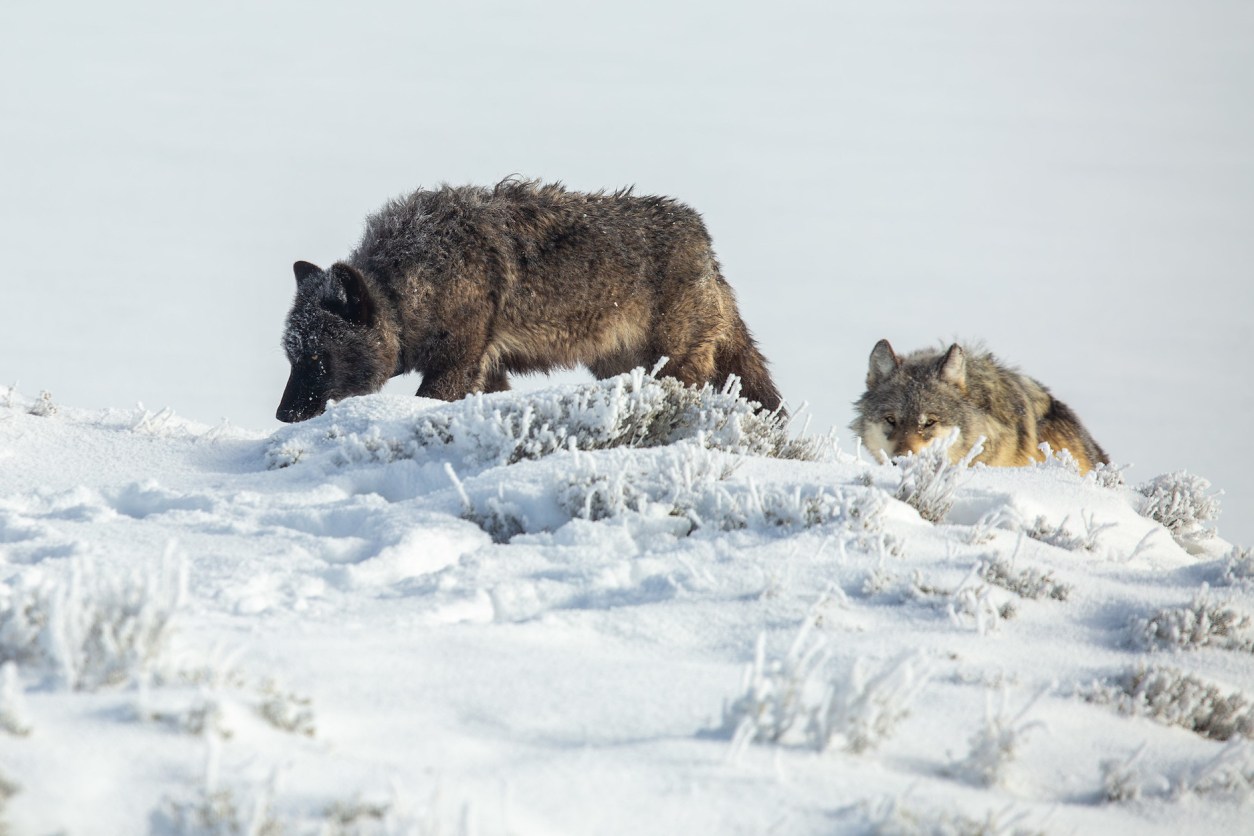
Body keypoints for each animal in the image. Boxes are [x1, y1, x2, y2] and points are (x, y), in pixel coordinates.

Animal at [277, 178, 782, 422]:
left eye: (319, 357)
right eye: (293, 357)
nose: (283, 415)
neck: (410, 287)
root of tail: (705, 244)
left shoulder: (455, 366)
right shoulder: (486, 371)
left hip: (671, 368)